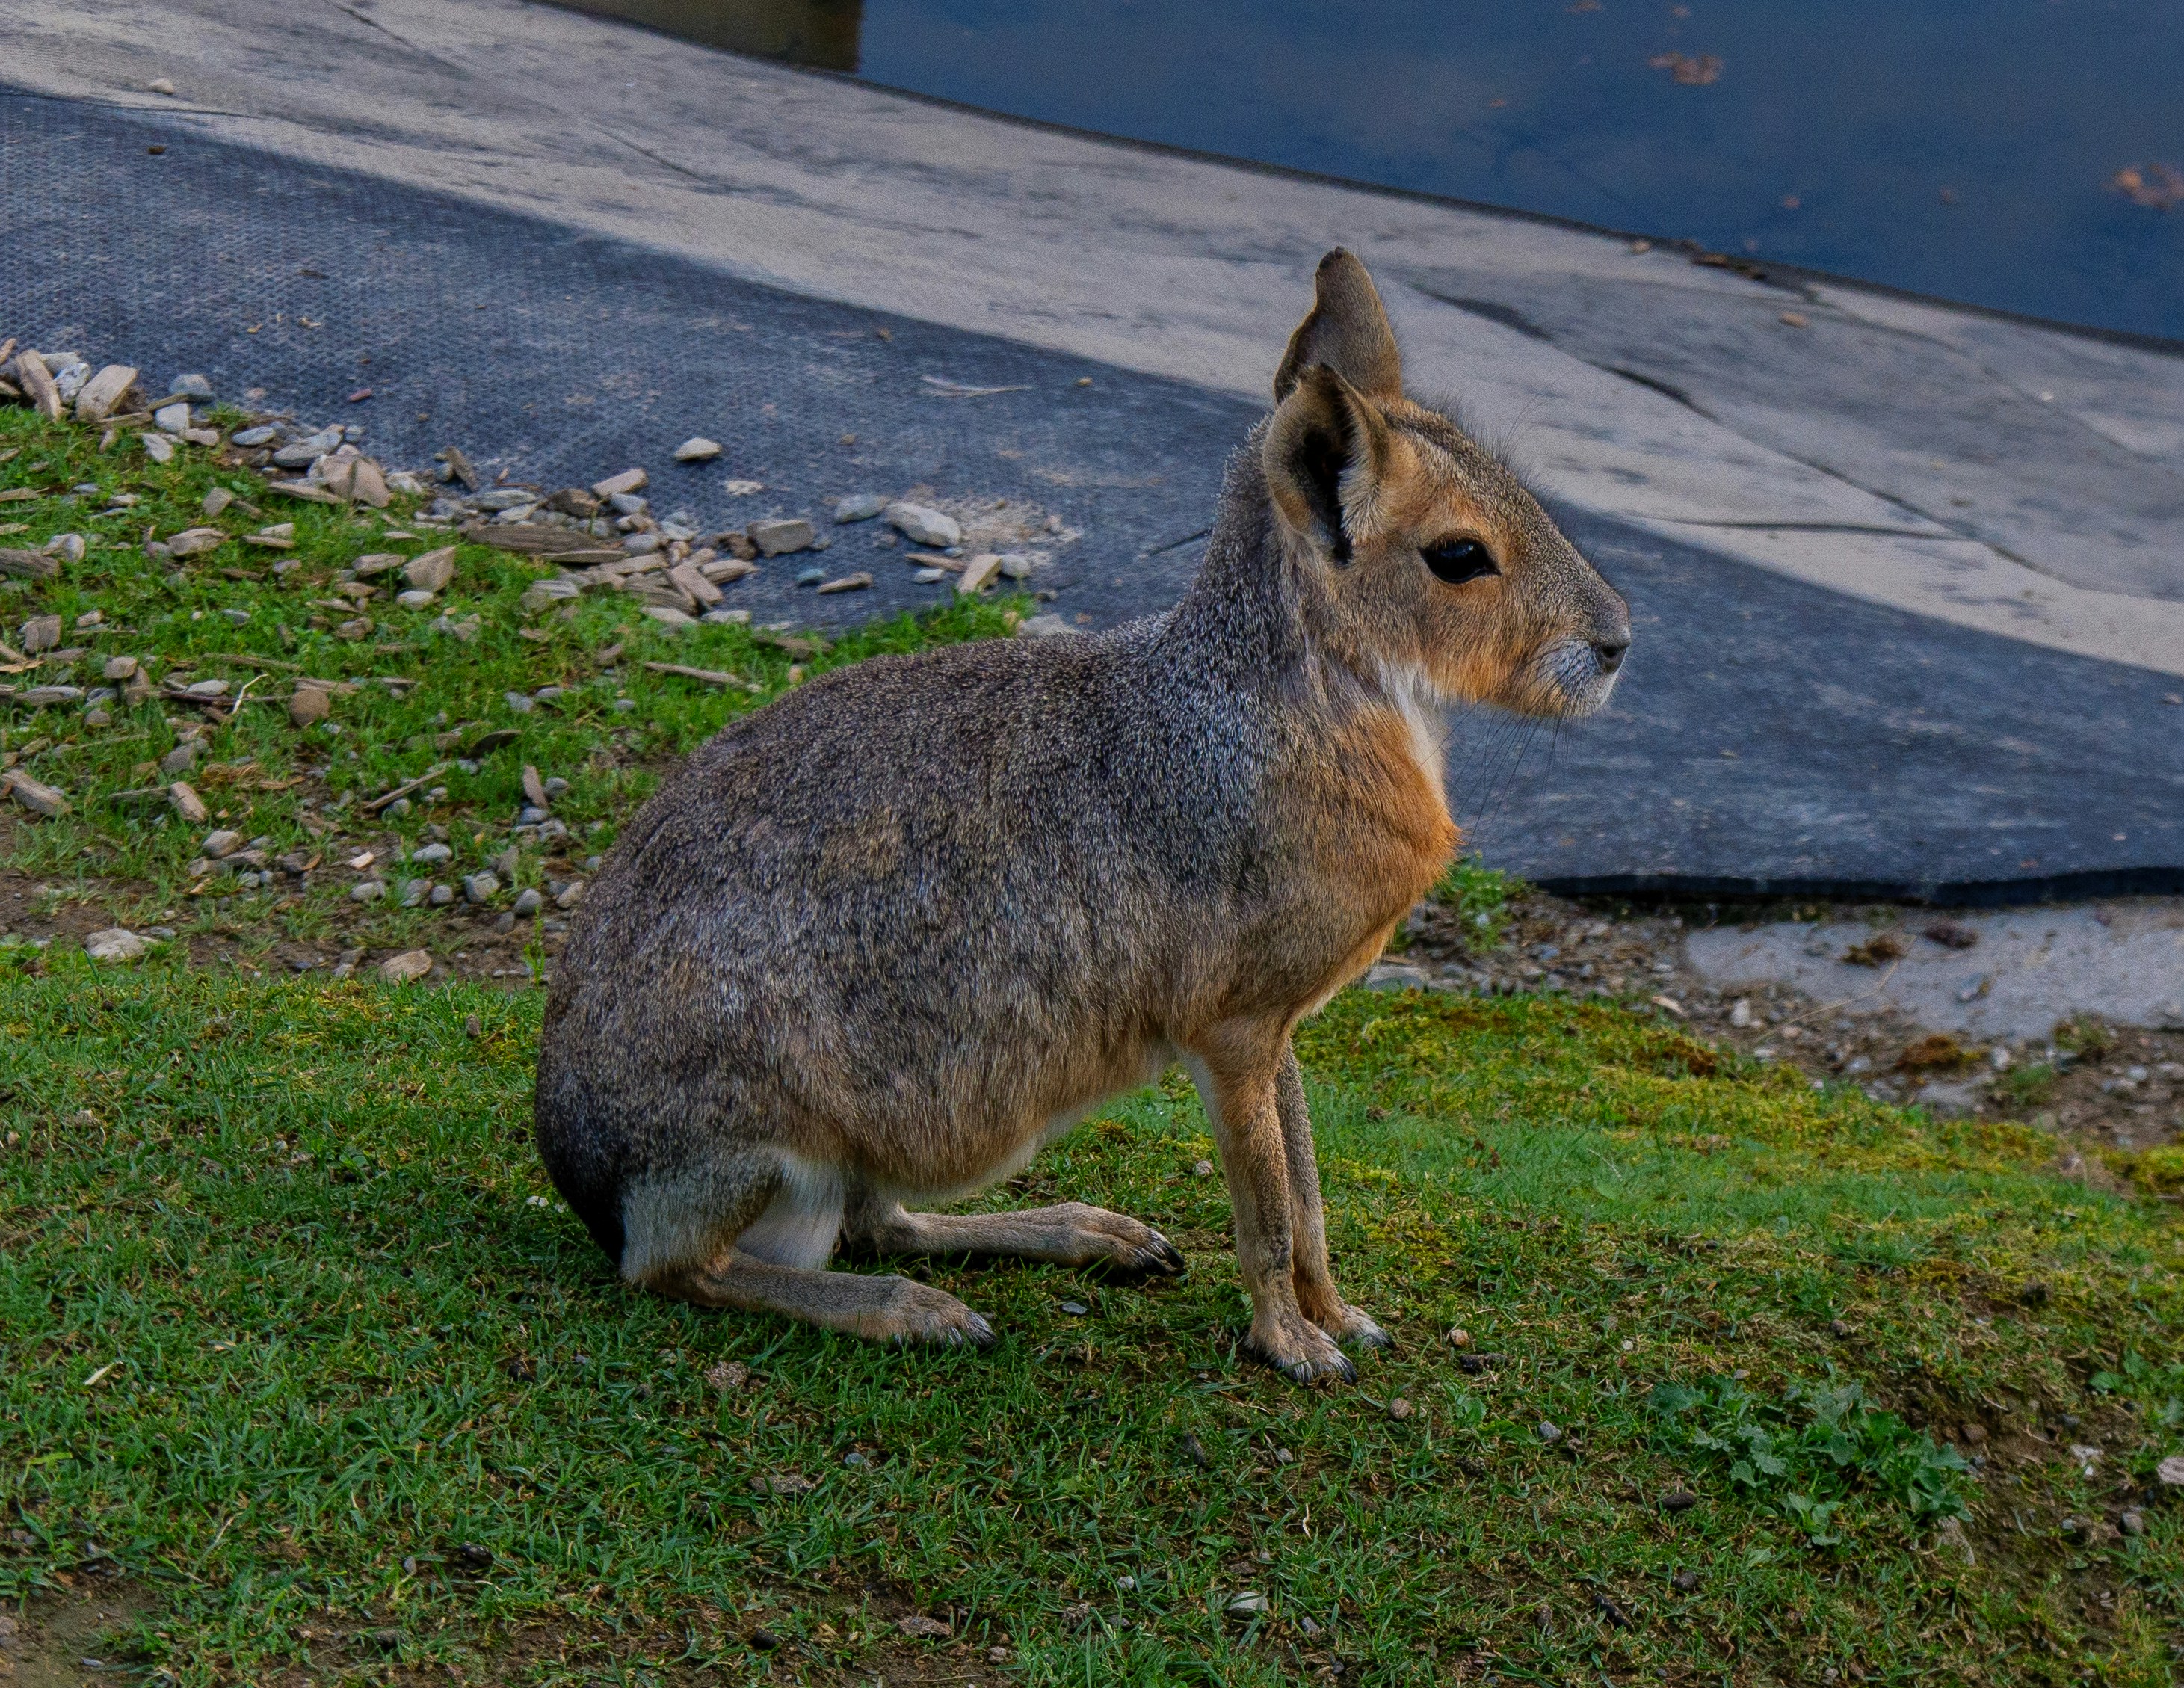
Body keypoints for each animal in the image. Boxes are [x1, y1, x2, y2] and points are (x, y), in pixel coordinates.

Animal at [535, 249, 1631, 1383]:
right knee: (685, 1268)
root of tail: (585, 1176)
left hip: (888, 1128)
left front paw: (1341, 1314)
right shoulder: (1229, 1022)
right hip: (768, 1143)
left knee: (882, 1220)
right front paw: (1292, 1345)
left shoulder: (1281, 1017)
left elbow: (1310, 1185)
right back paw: (909, 1309)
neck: (1283, 705)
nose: (1615, 643)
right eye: (1459, 555)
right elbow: (1267, 1204)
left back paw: (1086, 1233)